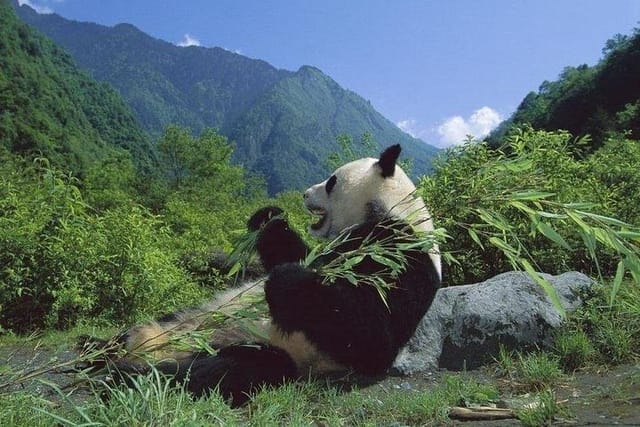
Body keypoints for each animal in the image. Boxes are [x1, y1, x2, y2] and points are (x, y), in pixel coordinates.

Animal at [85, 144, 441, 407]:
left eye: (331, 181)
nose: (303, 194)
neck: (390, 209)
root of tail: (156, 346)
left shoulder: (403, 256)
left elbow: (372, 336)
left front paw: (288, 280)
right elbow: (292, 250)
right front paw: (269, 216)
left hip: (260, 347)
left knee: (227, 369)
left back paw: (126, 375)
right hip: (187, 314)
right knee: (146, 329)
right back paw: (97, 348)